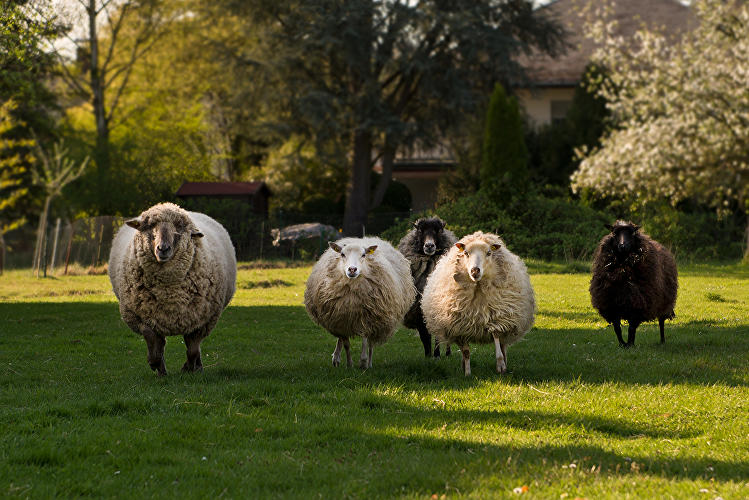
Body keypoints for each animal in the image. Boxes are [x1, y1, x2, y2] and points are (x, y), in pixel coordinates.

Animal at [108, 202, 236, 376]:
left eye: (179, 227)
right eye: (149, 226)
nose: (163, 249)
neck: (169, 292)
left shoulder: (202, 319)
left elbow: (193, 349)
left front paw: (188, 368)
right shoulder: (139, 316)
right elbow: (151, 337)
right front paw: (154, 362)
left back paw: (196, 367)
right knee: (160, 343)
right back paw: (161, 371)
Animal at [304, 237, 416, 369]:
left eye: (363, 255)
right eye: (342, 254)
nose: (352, 269)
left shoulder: (368, 318)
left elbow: (364, 341)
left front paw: (363, 362)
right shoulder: (341, 319)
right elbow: (346, 344)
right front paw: (349, 364)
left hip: (378, 319)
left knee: (371, 344)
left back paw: (369, 363)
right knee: (341, 339)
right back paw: (336, 358)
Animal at [397, 217, 457, 357]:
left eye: (439, 230)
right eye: (420, 230)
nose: (429, 245)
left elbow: (437, 336)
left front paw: (436, 355)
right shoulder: (417, 310)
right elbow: (424, 336)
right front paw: (428, 356)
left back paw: (447, 353)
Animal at [421, 231, 535, 376]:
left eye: (489, 253)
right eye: (466, 253)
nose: (475, 271)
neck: (478, 288)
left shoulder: (497, 319)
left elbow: (497, 341)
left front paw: (500, 366)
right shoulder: (460, 327)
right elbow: (466, 352)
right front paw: (467, 373)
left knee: (503, 345)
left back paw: (505, 363)